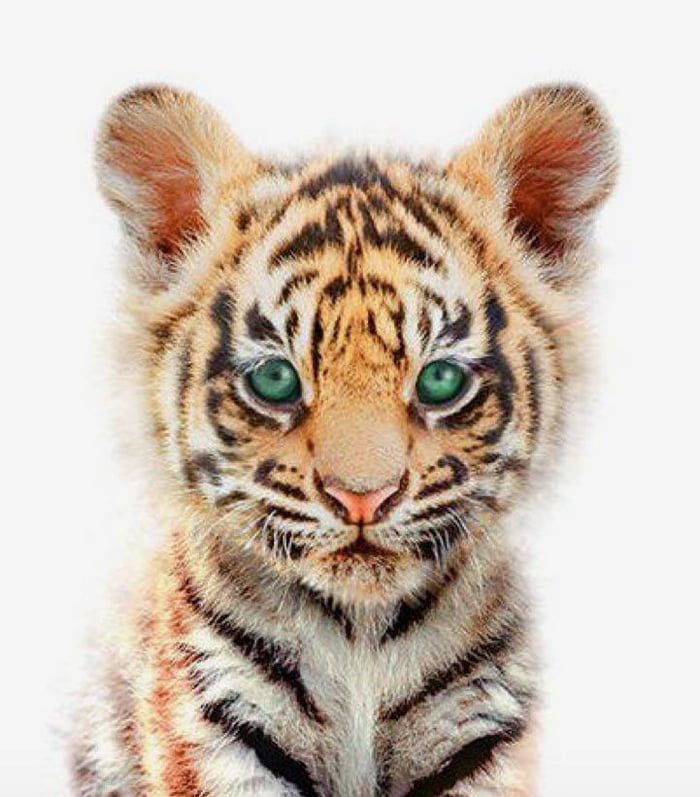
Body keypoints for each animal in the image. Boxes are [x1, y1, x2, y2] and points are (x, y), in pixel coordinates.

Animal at [71, 82, 617, 796]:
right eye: (276, 378)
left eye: (440, 380)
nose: (363, 499)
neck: (363, 637)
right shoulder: (216, 716)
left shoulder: (481, 726)